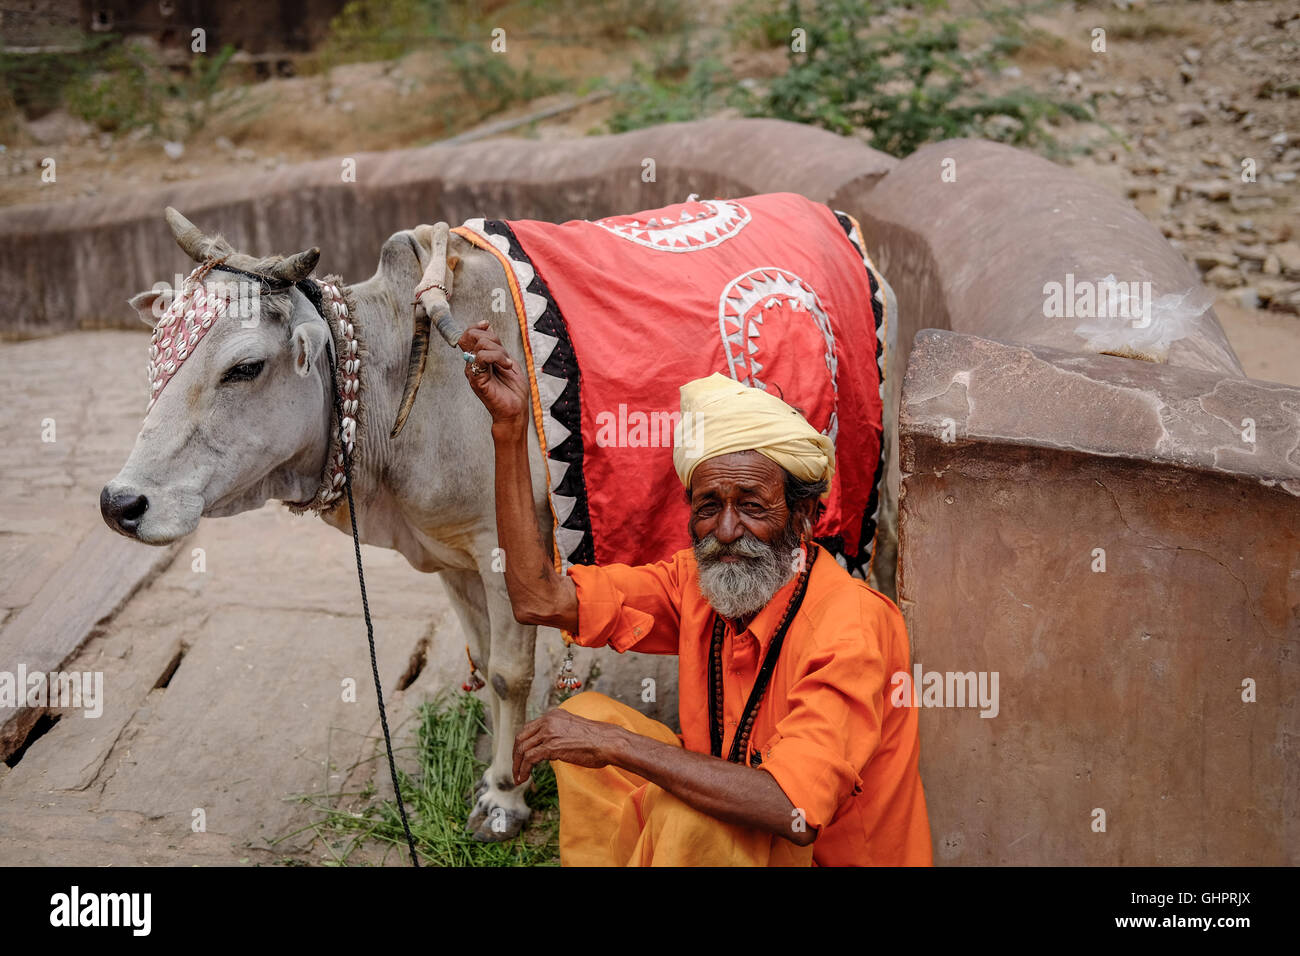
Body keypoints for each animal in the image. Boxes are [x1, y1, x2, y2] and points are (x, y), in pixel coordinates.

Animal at [100, 205, 901, 842]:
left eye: (245, 367)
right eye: (157, 354)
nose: (120, 502)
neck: (404, 386)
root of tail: (839, 221)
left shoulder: (504, 548)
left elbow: (514, 673)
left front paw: (505, 796)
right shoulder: (451, 555)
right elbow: (485, 665)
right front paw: (491, 772)